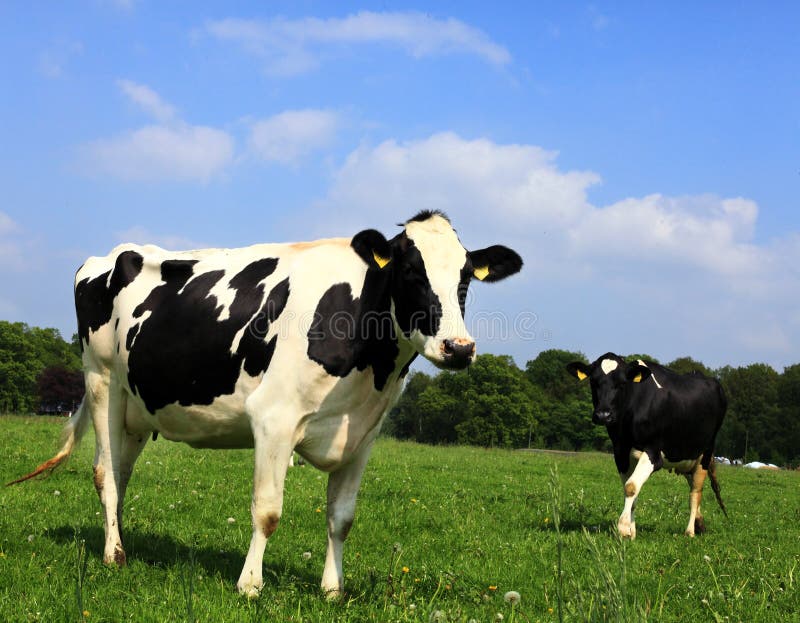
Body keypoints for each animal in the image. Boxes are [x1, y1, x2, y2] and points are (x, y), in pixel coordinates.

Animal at [9, 210, 521, 598]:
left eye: (465, 279)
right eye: (411, 271)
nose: (459, 348)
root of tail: (111, 254)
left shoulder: (363, 434)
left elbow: (342, 518)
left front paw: (332, 589)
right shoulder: (274, 419)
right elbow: (268, 510)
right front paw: (249, 585)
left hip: (137, 406)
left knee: (120, 470)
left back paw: (121, 540)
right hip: (102, 381)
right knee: (105, 473)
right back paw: (113, 555)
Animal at [566, 353, 727, 539]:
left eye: (622, 383)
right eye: (593, 382)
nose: (603, 415)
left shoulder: (653, 453)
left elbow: (630, 487)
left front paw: (623, 529)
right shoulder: (620, 453)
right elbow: (631, 491)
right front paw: (632, 531)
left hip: (705, 453)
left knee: (695, 493)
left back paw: (690, 531)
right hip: (686, 456)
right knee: (692, 483)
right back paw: (699, 523)